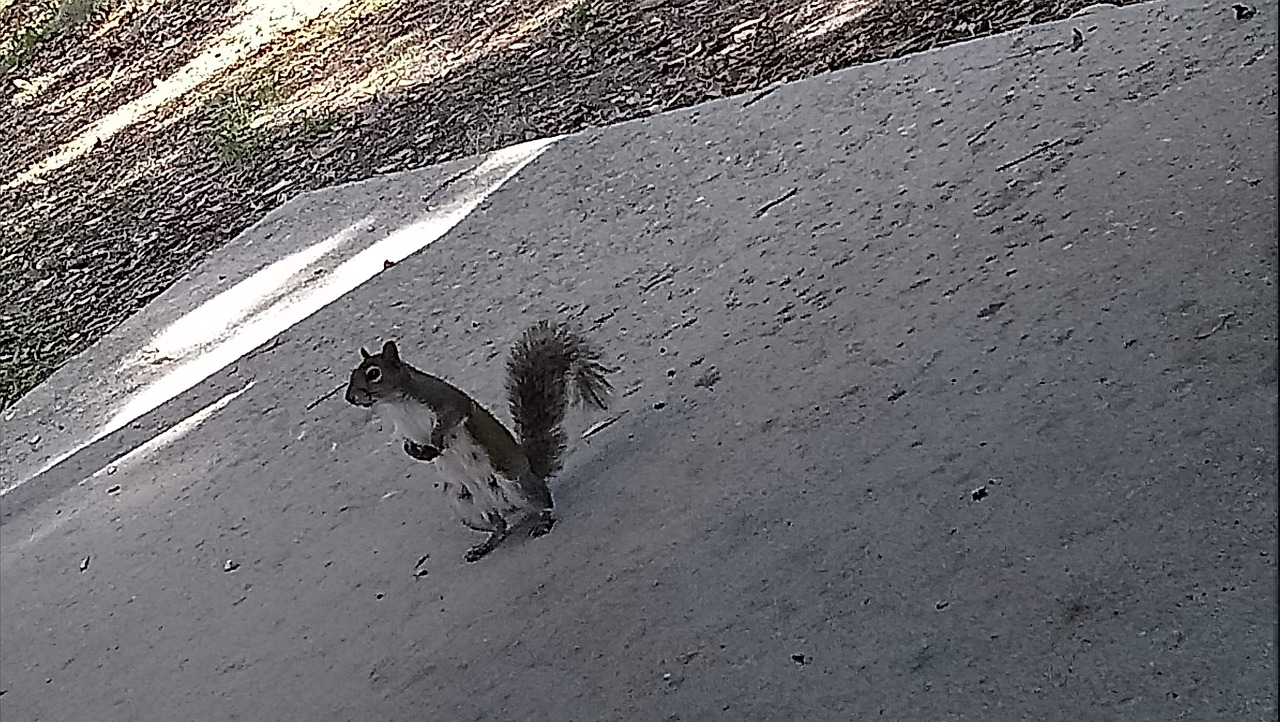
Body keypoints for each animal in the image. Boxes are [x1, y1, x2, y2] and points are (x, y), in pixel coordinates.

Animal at [344, 320, 611, 562]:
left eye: (374, 373)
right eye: (352, 374)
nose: (350, 397)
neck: (397, 405)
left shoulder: (447, 401)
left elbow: (449, 420)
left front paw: (436, 439)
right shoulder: (404, 431)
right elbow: (409, 446)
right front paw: (417, 451)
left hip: (518, 484)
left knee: (544, 503)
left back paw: (543, 522)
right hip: (464, 505)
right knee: (499, 525)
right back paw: (485, 545)